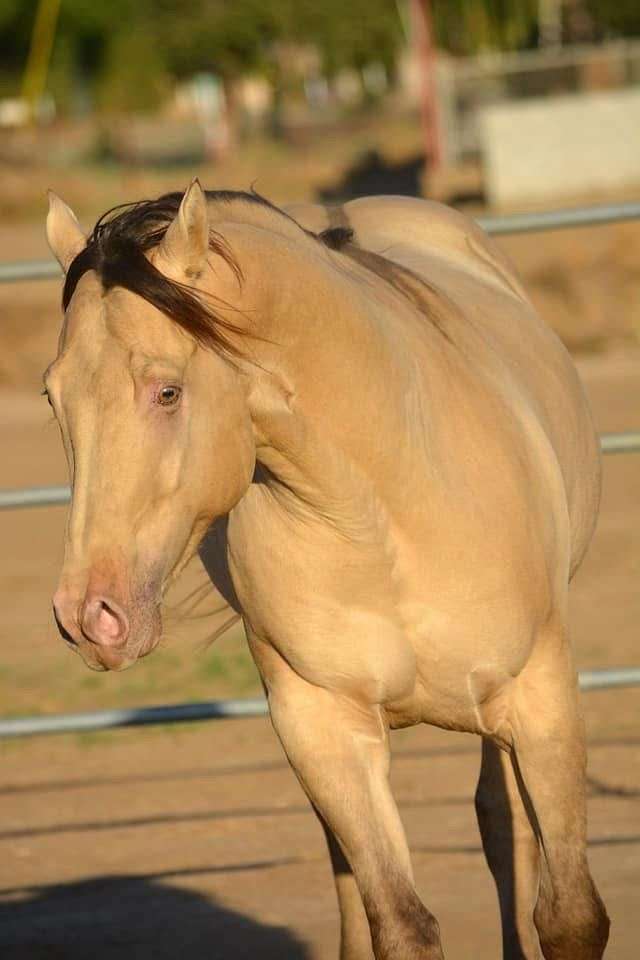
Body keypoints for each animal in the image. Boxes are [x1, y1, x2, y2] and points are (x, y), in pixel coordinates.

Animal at [45, 181, 609, 960]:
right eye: (53, 396)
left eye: (167, 391)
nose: (89, 617)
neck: (384, 512)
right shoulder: (321, 723)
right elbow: (399, 922)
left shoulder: (541, 695)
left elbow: (569, 915)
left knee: (503, 826)